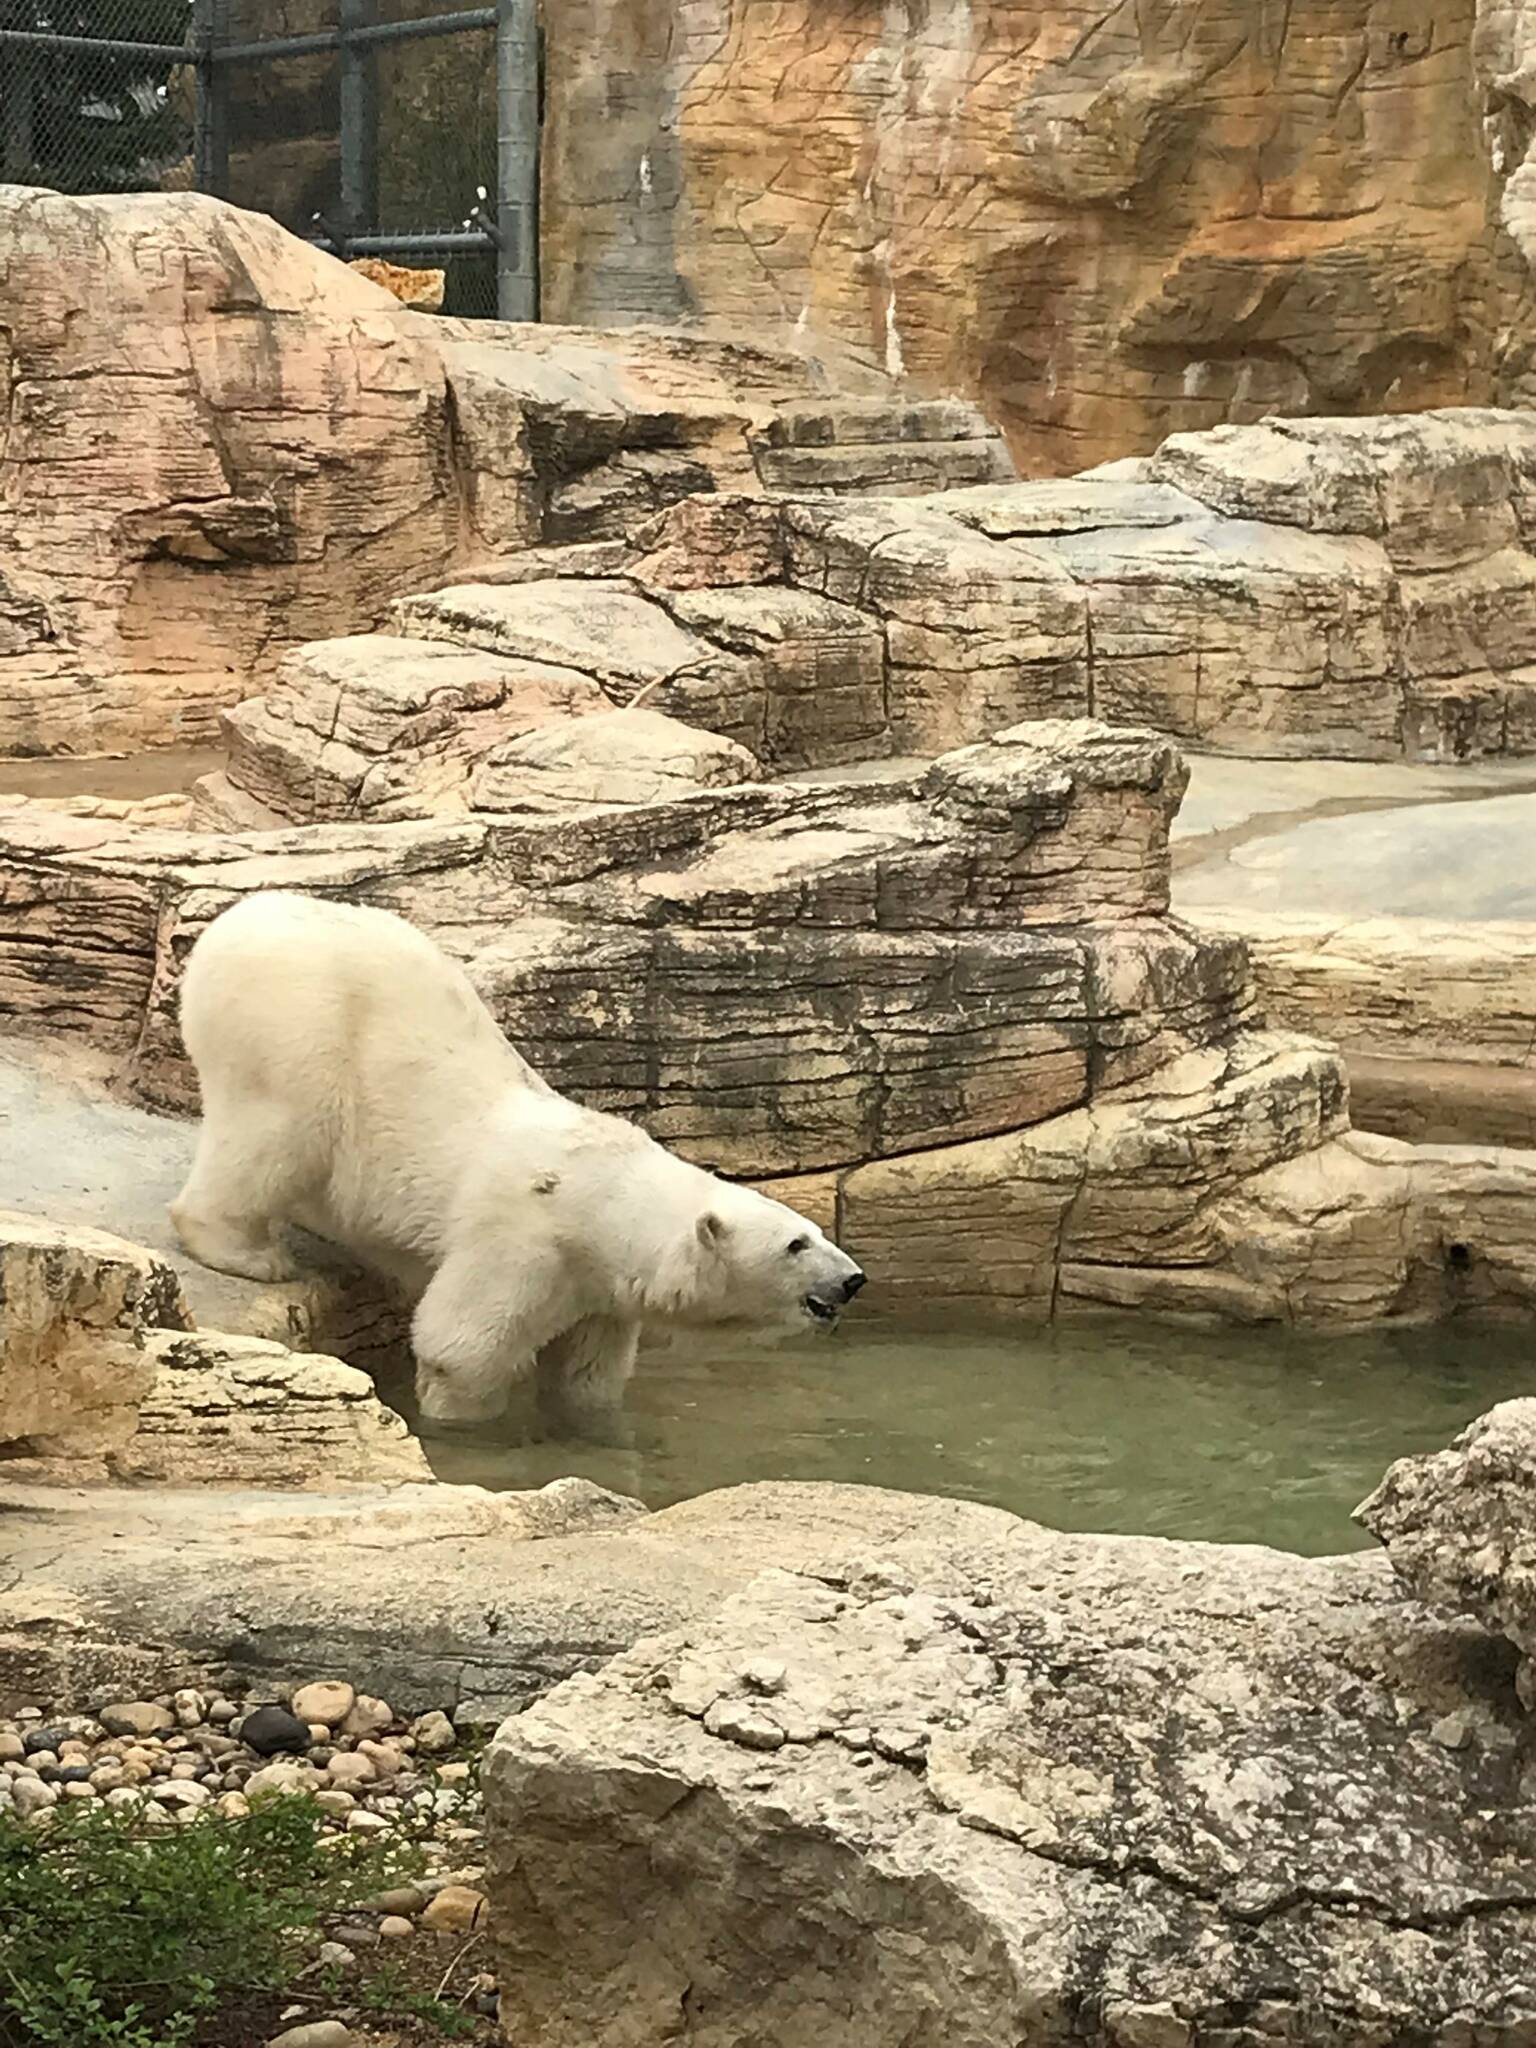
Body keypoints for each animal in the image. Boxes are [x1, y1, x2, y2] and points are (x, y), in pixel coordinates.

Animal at [170, 890, 866, 1428]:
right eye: (796, 1244)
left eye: (816, 1232)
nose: (852, 1280)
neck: (603, 1196)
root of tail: (236, 921)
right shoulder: (524, 1238)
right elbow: (462, 1349)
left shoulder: (601, 1294)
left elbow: (588, 1376)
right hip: (298, 1032)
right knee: (276, 1136)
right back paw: (249, 1253)